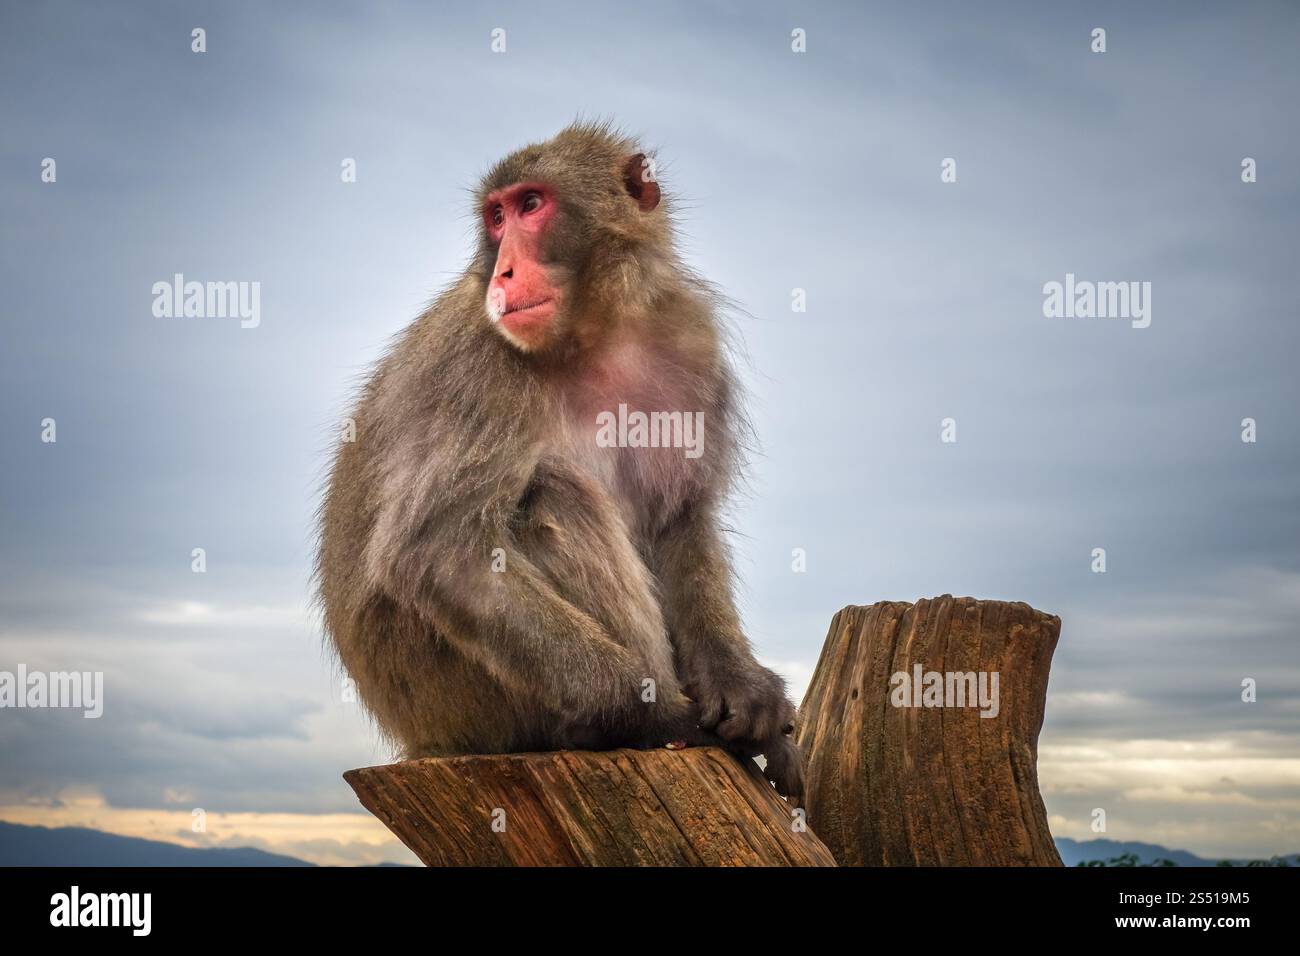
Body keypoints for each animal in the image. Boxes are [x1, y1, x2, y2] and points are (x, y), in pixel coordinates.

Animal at [317, 121, 803, 800]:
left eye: (531, 204)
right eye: (496, 217)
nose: (504, 268)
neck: (594, 334)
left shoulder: (690, 344)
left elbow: (679, 517)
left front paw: (744, 689)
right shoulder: (478, 364)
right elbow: (440, 551)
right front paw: (660, 714)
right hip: (469, 703)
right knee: (551, 491)